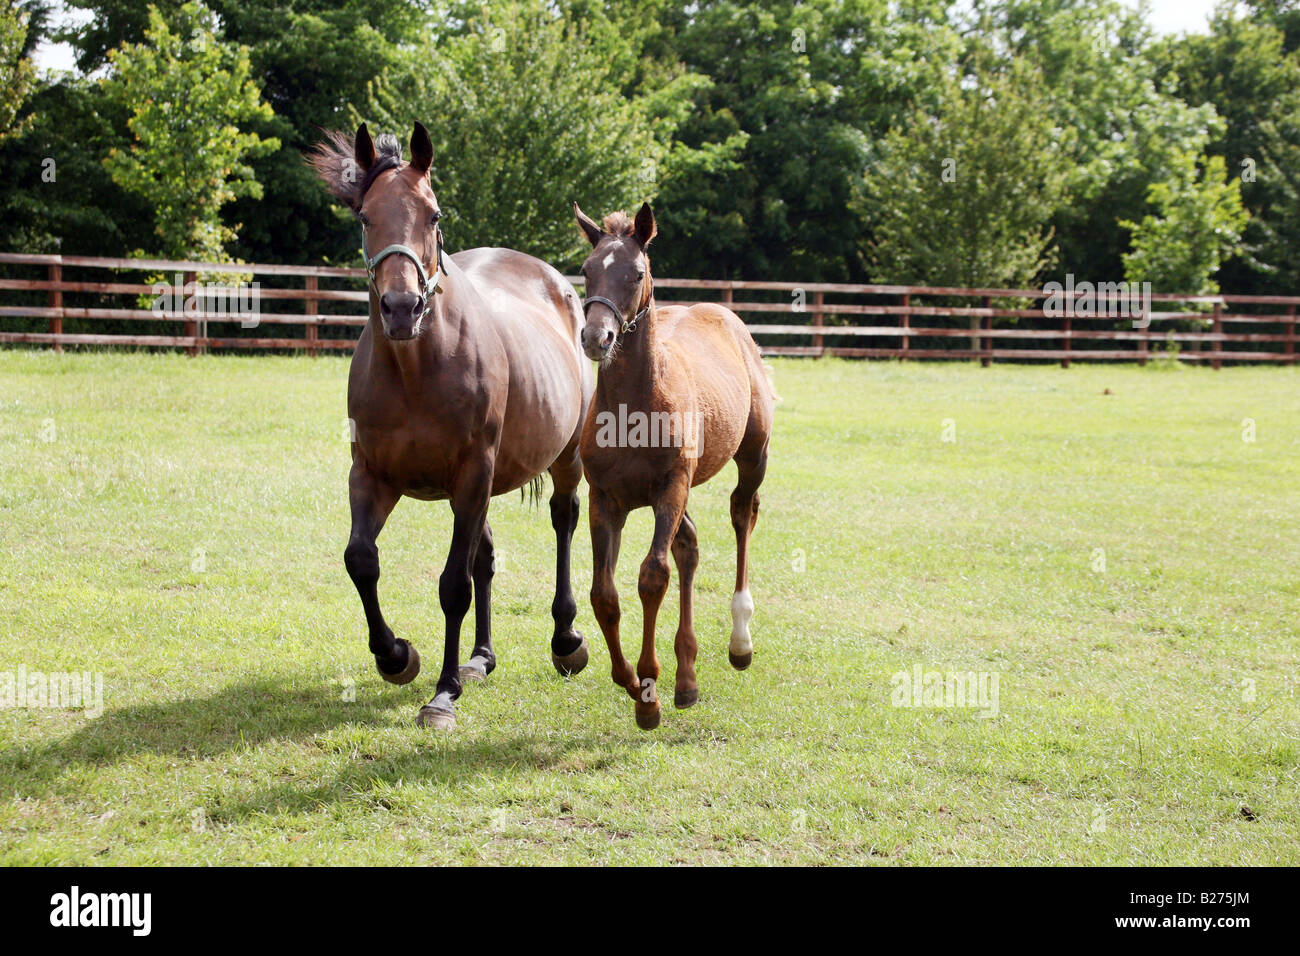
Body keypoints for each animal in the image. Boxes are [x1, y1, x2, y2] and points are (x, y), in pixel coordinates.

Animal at [309, 123, 594, 730]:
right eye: (365, 216)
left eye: (433, 214)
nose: (401, 307)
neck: (416, 369)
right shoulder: (372, 476)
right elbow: (360, 560)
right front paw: (396, 656)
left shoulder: (471, 475)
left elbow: (453, 586)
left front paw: (441, 695)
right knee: (484, 556)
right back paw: (479, 658)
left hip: (563, 458)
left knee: (563, 520)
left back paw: (565, 639)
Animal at [572, 202, 775, 729]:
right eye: (587, 270)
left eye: (636, 272)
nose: (596, 337)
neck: (635, 404)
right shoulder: (606, 499)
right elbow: (604, 594)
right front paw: (633, 684)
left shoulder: (670, 486)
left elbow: (652, 576)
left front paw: (648, 691)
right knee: (690, 544)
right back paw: (687, 679)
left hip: (752, 455)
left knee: (742, 513)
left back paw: (739, 641)